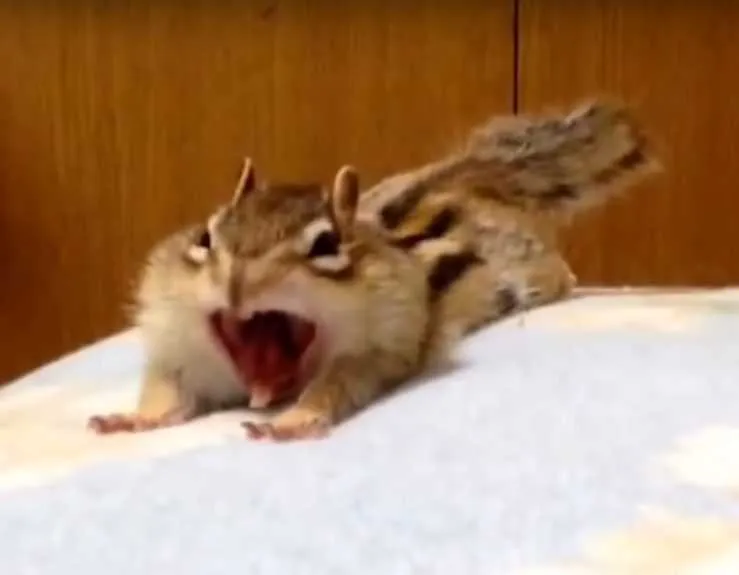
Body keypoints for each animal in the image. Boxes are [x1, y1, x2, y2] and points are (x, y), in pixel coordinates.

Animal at [89, 100, 660, 440]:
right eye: (206, 238)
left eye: (325, 243)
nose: (237, 281)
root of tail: (442, 183)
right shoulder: (179, 354)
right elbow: (166, 393)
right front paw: (132, 417)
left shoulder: (376, 352)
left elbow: (337, 388)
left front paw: (295, 421)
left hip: (526, 264)